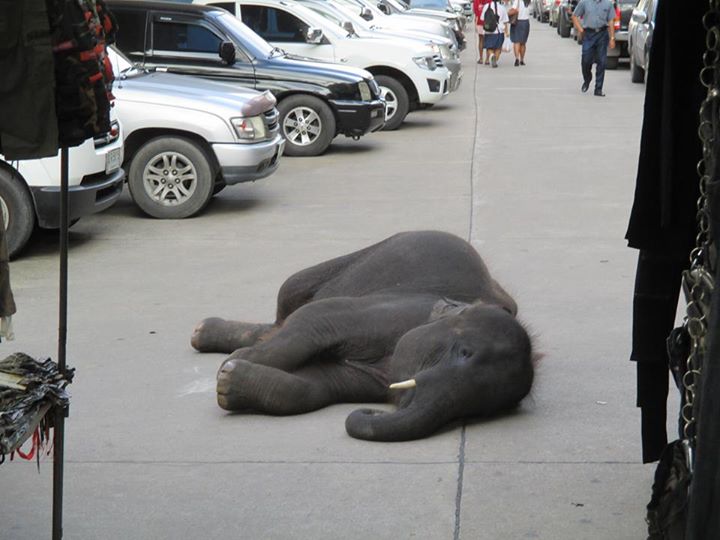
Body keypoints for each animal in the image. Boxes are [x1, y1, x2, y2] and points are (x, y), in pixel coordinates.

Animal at [191, 231, 535, 441]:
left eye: (477, 411)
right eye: (463, 352)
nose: (373, 410)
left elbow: (313, 386)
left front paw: (229, 381)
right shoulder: (394, 310)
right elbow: (317, 320)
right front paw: (232, 364)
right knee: (289, 301)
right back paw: (206, 335)